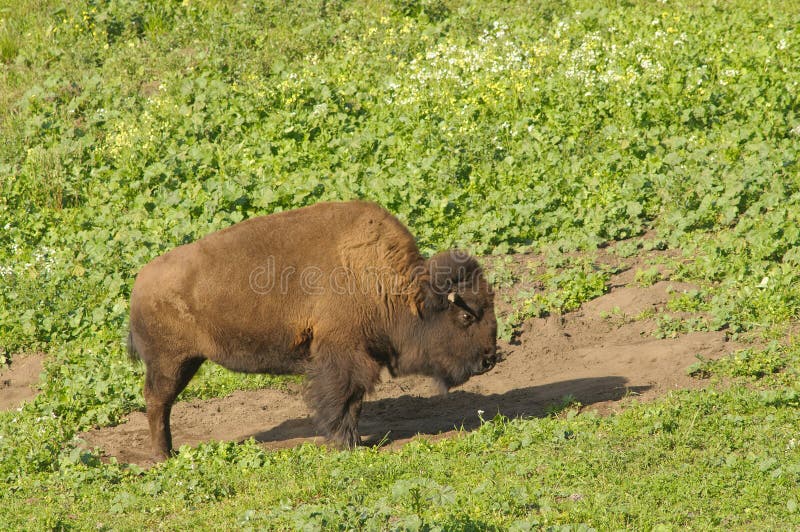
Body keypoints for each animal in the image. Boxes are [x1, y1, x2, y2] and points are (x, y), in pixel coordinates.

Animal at [128, 200, 497, 459]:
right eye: (466, 317)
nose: (489, 359)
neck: (396, 288)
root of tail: (139, 283)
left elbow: (354, 401)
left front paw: (353, 441)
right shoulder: (342, 356)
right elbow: (341, 399)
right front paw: (345, 443)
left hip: (185, 361)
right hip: (170, 362)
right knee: (157, 401)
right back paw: (164, 455)